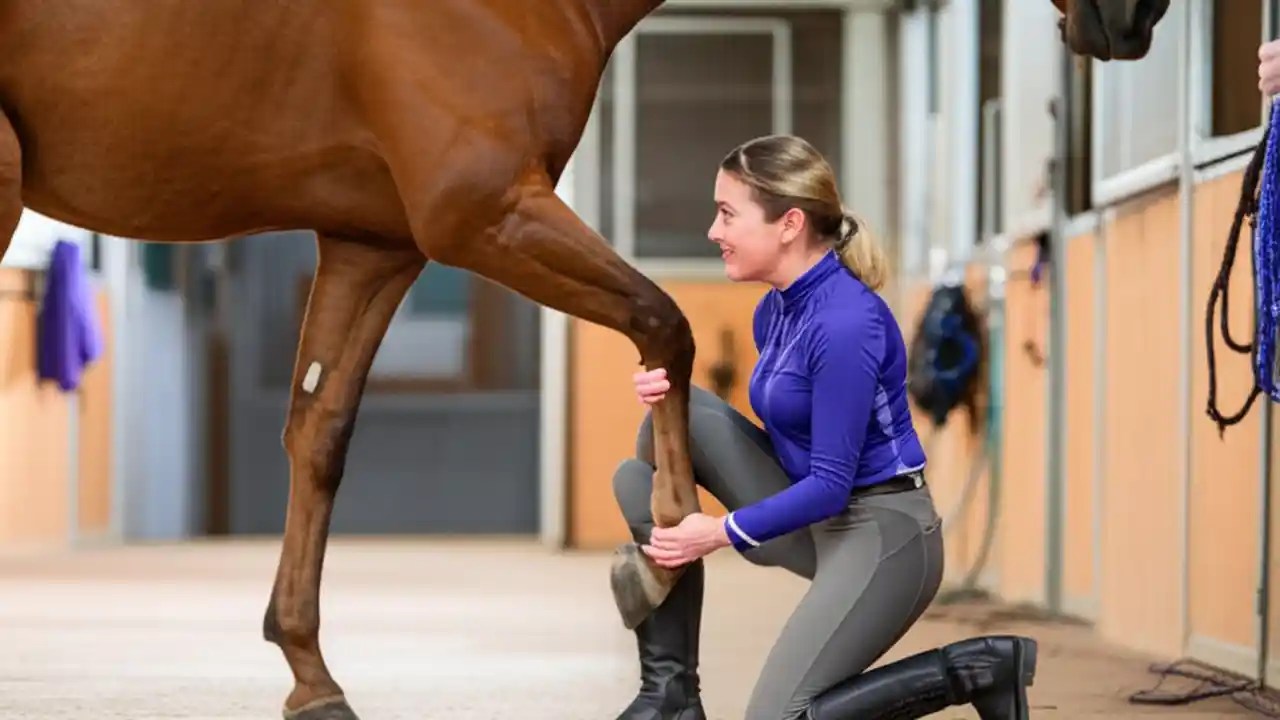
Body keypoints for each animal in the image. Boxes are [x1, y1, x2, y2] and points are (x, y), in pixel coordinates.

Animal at [0, 1, 1169, 717]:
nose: (1132, 20)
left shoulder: (378, 240)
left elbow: (319, 436)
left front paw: (309, 675)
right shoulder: (482, 211)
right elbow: (666, 323)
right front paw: (658, 556)